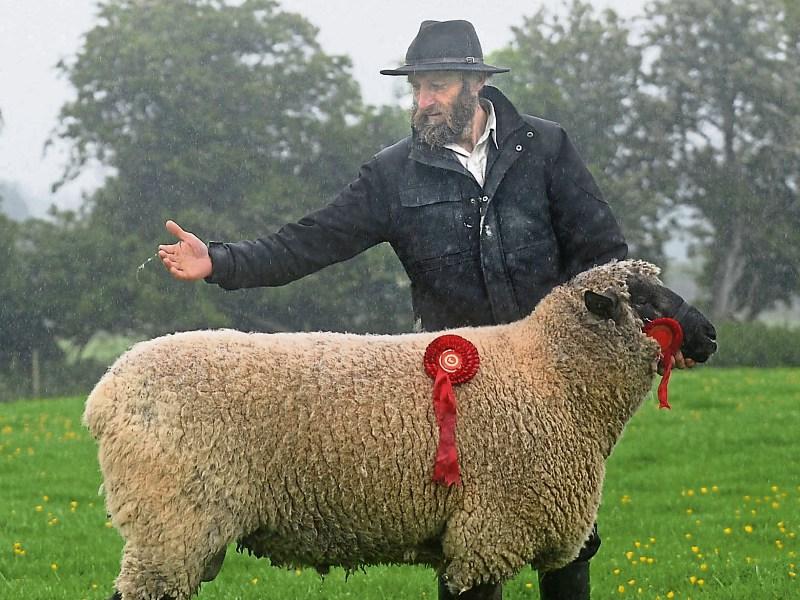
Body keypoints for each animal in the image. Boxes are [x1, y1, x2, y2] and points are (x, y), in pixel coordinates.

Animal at [85, 259, 717, 600]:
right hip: (171, 520)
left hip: (179, 530)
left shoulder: (477, 533)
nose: (710, 335)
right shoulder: (491, 529)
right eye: (645, 299)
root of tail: (105, 393)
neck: (552, 376)